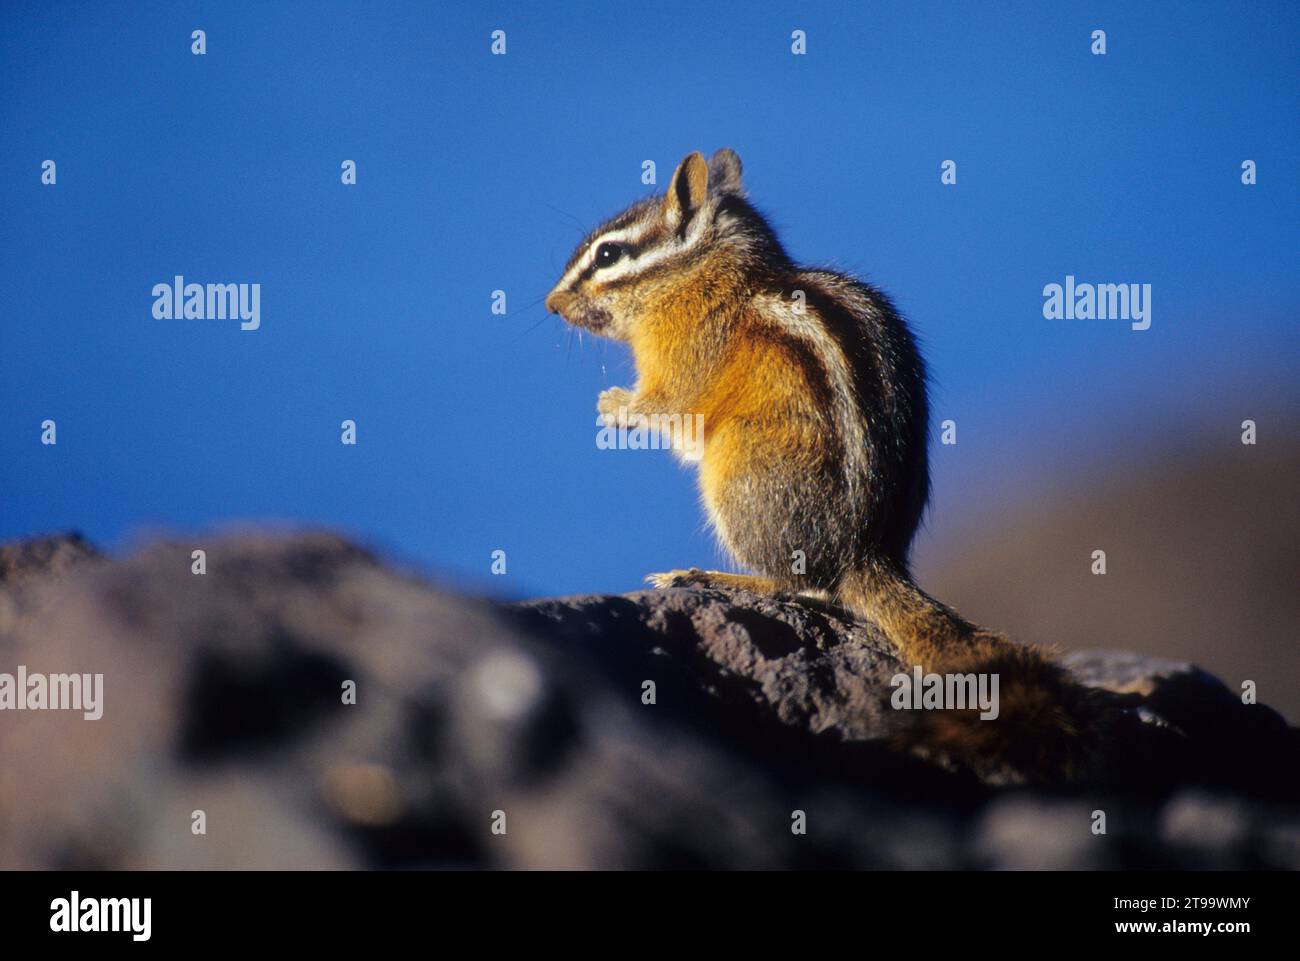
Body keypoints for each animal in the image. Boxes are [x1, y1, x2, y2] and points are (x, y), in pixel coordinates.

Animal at [546, 149, 1103, 783]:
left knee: (806, 587)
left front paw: (615, 406)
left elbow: (671, 412)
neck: (703, 275)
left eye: (607, 254)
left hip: (739, 475)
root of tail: (866, 554)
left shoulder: (685, 358)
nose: (551, 304)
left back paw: (709, 576)